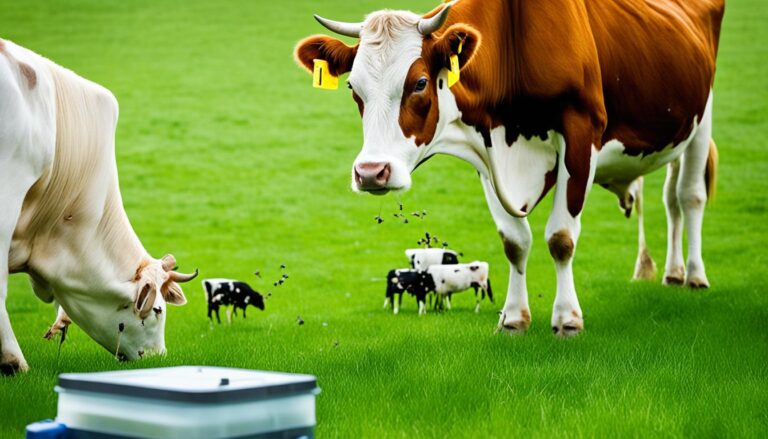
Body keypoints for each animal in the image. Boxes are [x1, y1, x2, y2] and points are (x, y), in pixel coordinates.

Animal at [294, 0, 723, 336]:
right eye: (354, 88)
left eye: (419, 83)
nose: (371, 172)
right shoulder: (487, 151)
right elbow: (514, 242)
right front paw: (515, 318)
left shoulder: (581, 133)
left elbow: (561, 237)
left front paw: (567, 319)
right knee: (670, 200)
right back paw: (672, 273)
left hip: (702, 116)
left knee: (689, 196)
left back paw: (695, 276)